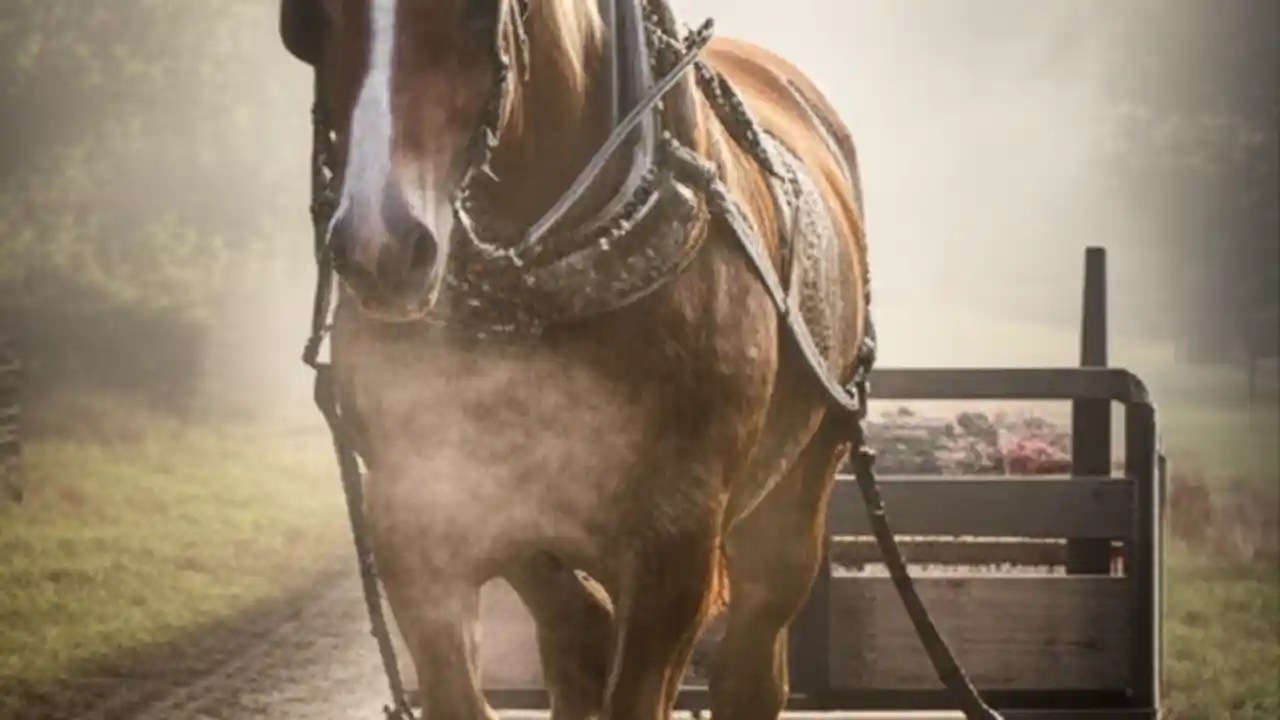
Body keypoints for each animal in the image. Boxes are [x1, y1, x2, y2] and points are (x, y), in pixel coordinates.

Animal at [280, 1, 870, 718]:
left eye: (474, 11)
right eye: (312, 17)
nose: (380, 247)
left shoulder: (675, 551)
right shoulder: (422, 515)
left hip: (800, 486)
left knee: (755, 656)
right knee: (579, 632)